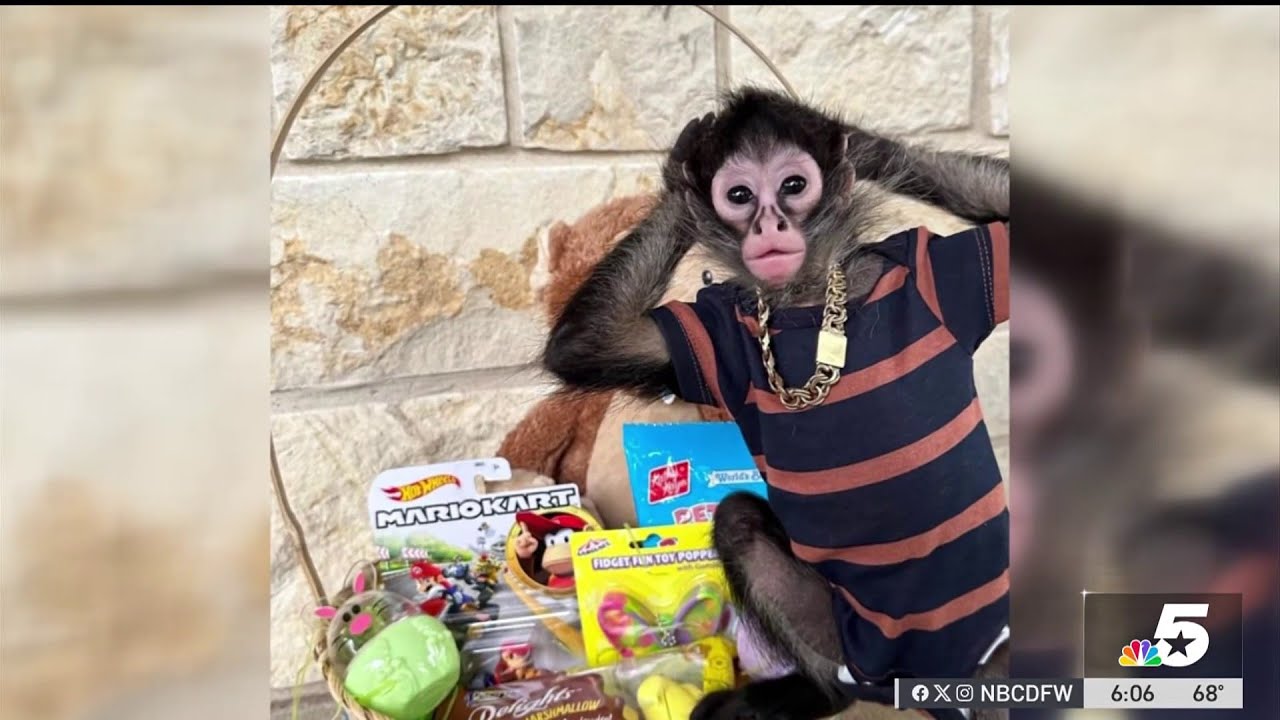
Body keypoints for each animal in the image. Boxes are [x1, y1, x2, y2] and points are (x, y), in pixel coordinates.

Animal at [543, 87, 1010, 720]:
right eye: (739, 195)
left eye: (793, 185)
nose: (771, 222)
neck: (807, 301)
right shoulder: (714, 328)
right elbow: (587, 344)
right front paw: (684, 162)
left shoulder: (935, 271)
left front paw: (844, 136)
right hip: (843, 639)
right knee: (739, 521)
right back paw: (818, 692)